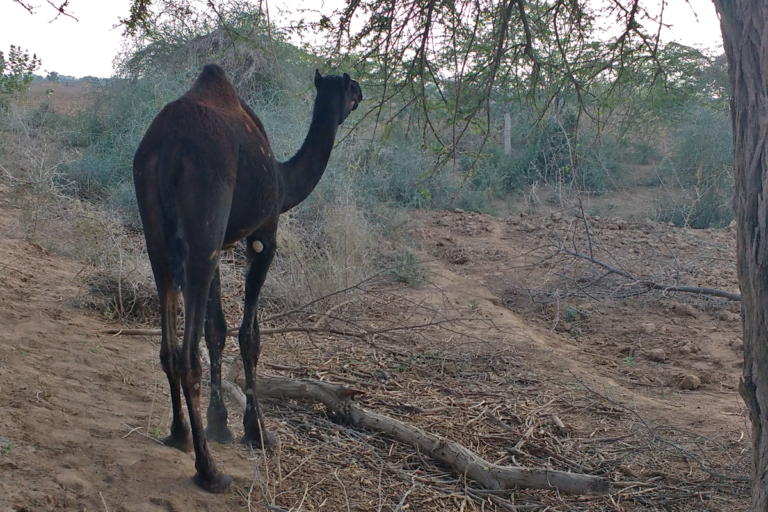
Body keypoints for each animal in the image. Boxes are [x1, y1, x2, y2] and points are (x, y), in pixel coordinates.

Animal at [133, 63, 362, 493]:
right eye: (348, 87)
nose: (361, 92)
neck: (285, 179)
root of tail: (167, 146)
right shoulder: (263, 236)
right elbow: (249, 336)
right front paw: (256, 431)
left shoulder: (222, 243)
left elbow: (216, 330)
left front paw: (219, 422)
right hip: (203, 224)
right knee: (187, 356)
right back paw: (210, 471)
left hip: (159, 235)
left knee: (169, 346)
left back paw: (179, 434)